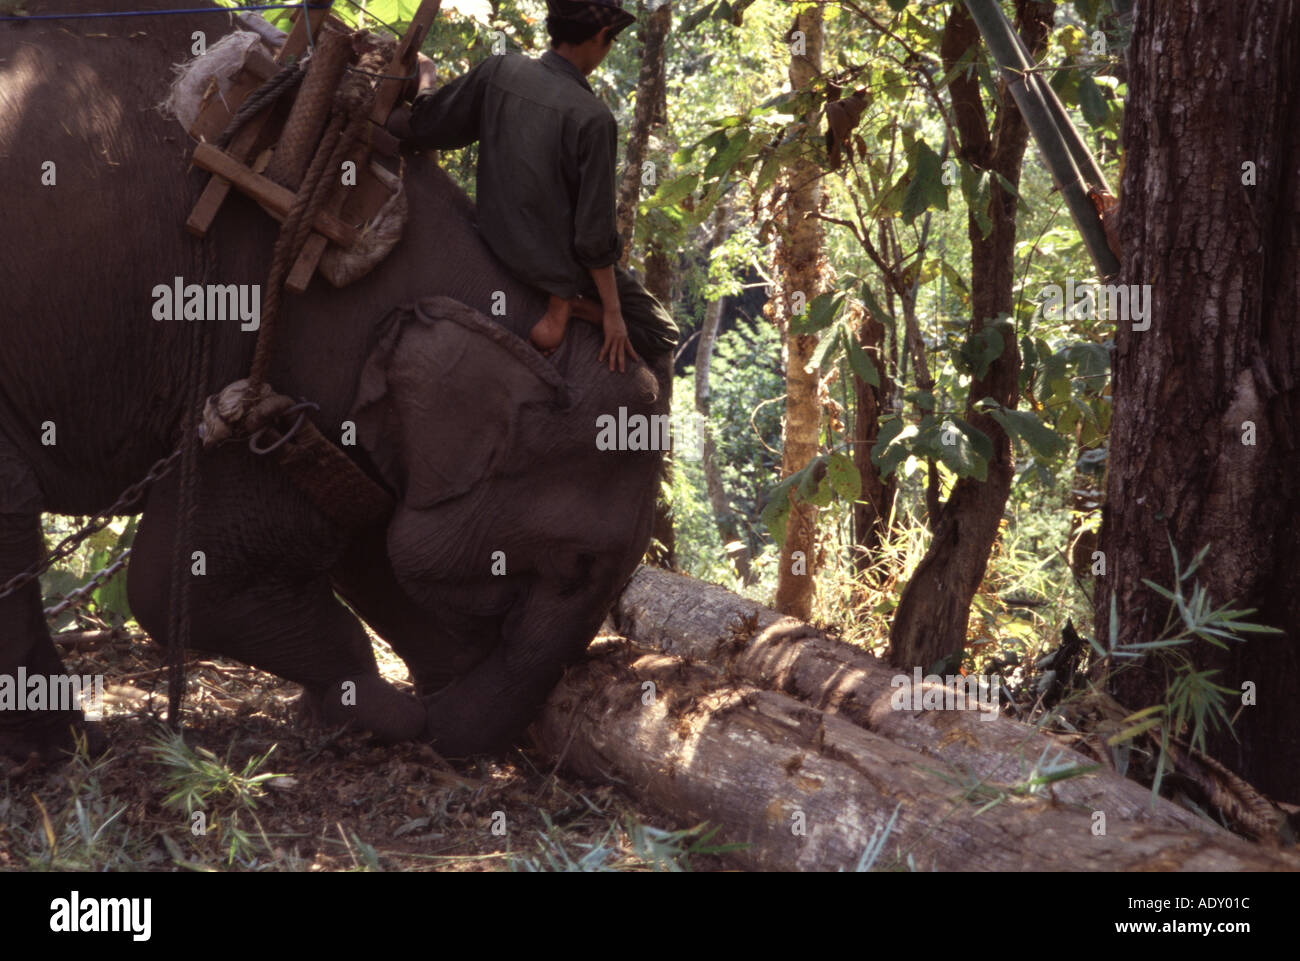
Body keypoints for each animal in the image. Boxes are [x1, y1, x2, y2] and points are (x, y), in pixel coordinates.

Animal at [0, 1, 670, 761]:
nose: (472, 740)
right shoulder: (276, 360)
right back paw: (60, 742)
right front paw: (380, 712)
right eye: (581, 563)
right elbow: (187, 580)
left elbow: (370, 536)